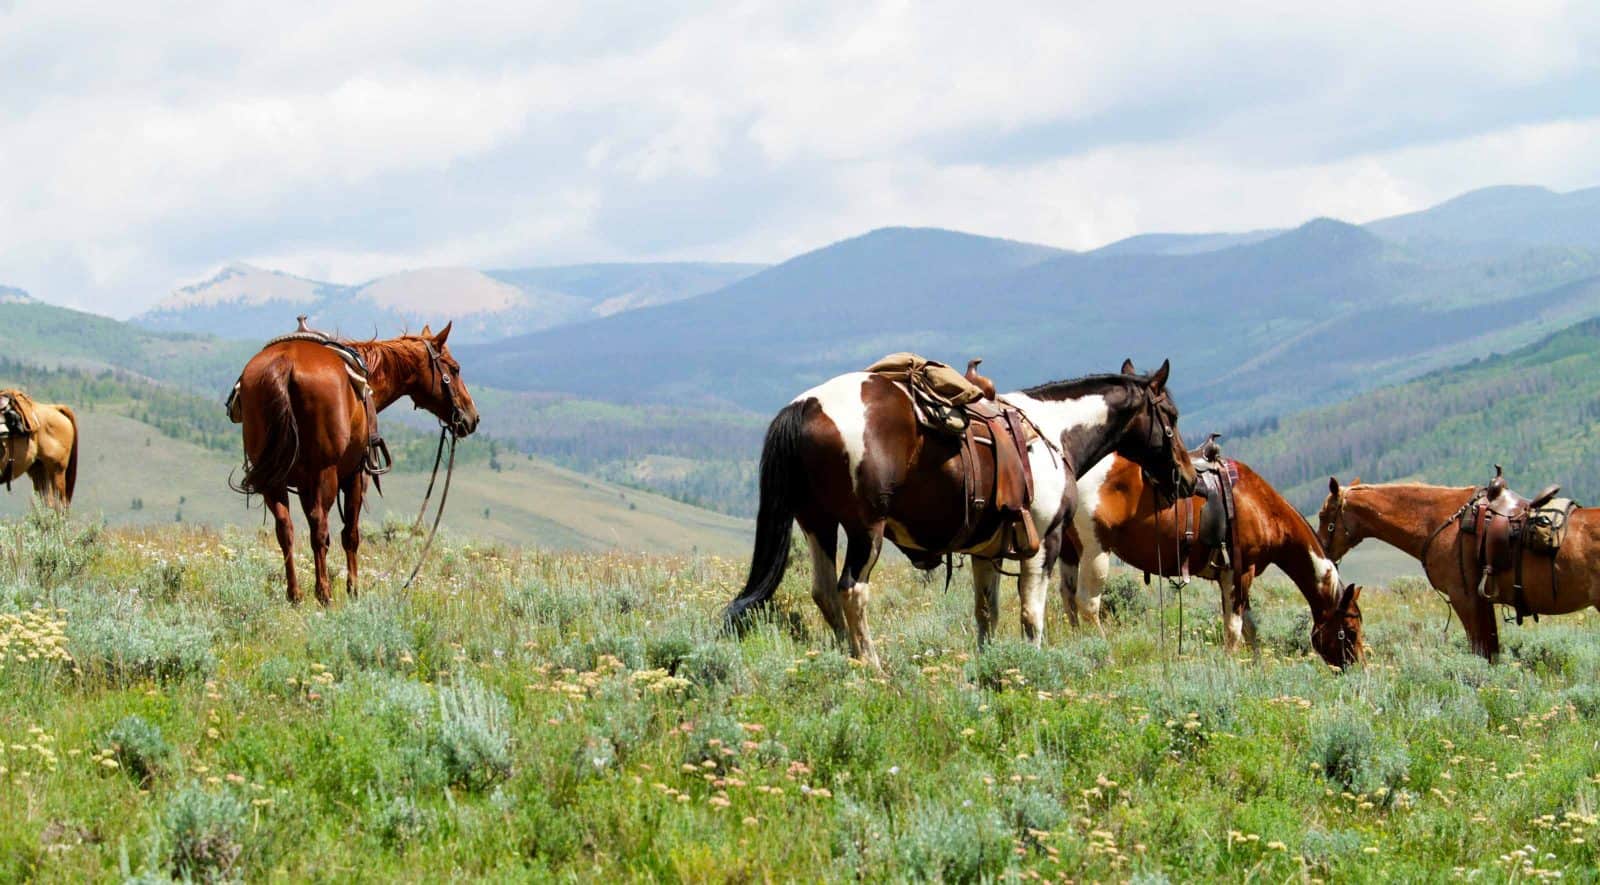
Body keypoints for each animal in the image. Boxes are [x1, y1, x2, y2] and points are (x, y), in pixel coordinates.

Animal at [233, 323, 480, 605]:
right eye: (455, 368)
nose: (472, 417)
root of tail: (285, 363)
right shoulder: (355, 476)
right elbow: (350, 534)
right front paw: (353, 589)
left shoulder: (305, 486)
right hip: (325, 474)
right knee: (319, 528)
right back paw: (324, 593)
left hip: (273, 482)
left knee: (285, 529)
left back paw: (295, 594)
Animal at [723, 358, 1198, 669]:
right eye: (1171, 416)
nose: (1188, 478)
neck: (1055, 434)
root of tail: (806, 405)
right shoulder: (1044, 543)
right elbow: (1032, 615)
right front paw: (1032, 665)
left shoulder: (986, 551)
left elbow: (987, 613)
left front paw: (991, 664)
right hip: (864, 530)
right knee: (851, 591)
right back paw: (872, 665)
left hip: (816, 523)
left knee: (823, 591)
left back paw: (846, 659)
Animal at [1055, 453, 1364, 667]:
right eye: (1349, 631)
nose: (1357, 667)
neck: (1262, 506)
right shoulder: (1239, 572)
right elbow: (1234, 628)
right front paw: (1231, 664)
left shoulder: (1234, 574)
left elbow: (1250, 626)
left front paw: (1257, 665)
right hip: (1095, 550)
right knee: (1088, 604)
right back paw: (1103, 654)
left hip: (1069, 551)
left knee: (1068, 599)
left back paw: (1078, 646)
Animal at [1319, 477, 1600, 660]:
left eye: (1323, 516)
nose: (1323, 551)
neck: (1439, 521)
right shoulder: (1482, 601)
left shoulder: (1464, 598)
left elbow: (1481, 651)